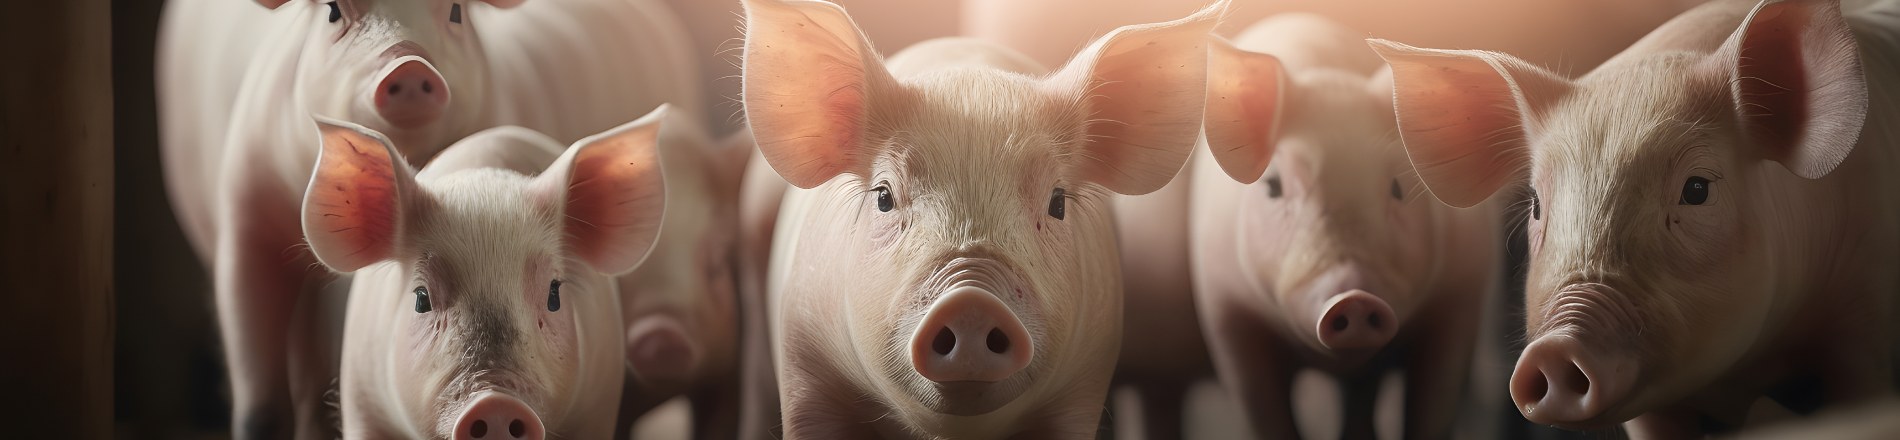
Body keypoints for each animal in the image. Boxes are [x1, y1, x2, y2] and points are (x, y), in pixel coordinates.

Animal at [1187, 14, 1504, 439]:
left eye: (1398, 188)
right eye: (1273, 187)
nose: (1354, 297)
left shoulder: (1460, 298)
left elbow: (1432, 402)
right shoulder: (1227, 312)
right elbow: (1263, 408)